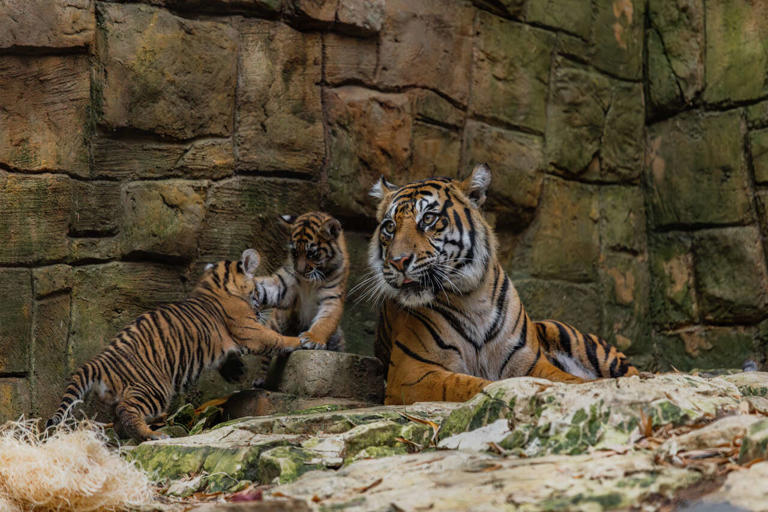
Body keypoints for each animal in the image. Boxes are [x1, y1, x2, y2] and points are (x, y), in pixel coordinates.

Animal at [46, 249, 303, 441]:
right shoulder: (249, 329)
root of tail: (101, 360)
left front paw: (236, 371)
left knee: (119, 419)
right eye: (258, 289)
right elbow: (273, 337)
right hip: (153, 387)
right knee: (127, 412)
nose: (262, 307)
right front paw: (302, 339)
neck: (216, 282)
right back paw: (153, 435)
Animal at [251, 212, 349, 379]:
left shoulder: (331, 297)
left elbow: (325, 321)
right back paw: (259, 379)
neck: (309, 281)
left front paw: (313, 339)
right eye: (295, 252)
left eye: (312, 254)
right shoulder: (283, 285)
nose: (300, 271)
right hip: (277, 322)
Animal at [368, 164, 638, 405]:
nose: (398, 261)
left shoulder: (531, 361)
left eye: (428, 219)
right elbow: (470, 384)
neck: (470, 298)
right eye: (390, 227)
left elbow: (567, 379)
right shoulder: (411, 373)